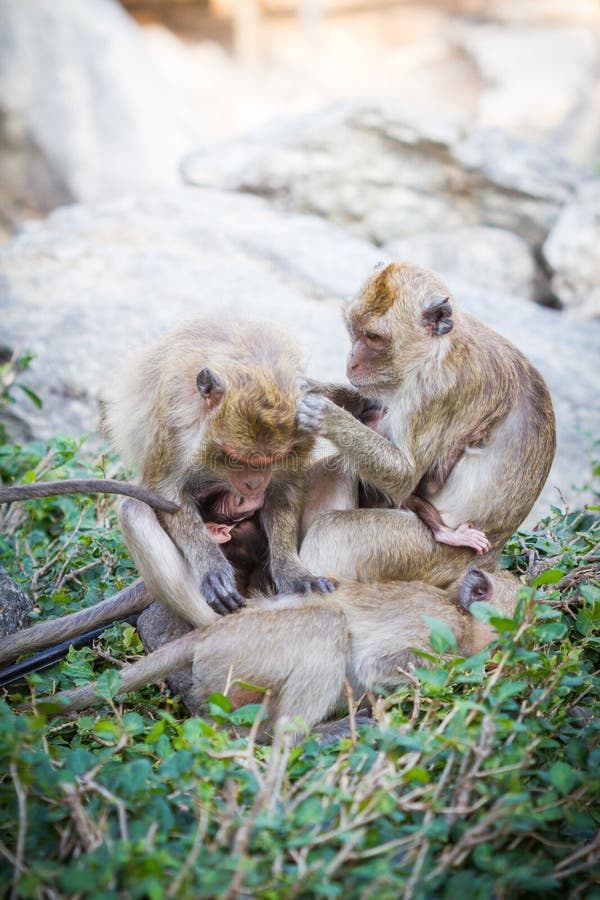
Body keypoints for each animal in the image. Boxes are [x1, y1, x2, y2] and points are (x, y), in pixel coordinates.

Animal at [35, 567, 520, 741]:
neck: (460, 612)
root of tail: (211, 633)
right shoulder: (438, 625)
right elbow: (376, 664)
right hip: (246, 654)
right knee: (327, 626)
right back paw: (304, 735)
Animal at [102, 317, 335, 629]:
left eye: (274, 458)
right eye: (237, 458)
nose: (254, 484)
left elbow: (284, 487)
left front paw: (293, 572)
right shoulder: (172, 424)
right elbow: (166, 491)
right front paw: (210, 563)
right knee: (133, 510)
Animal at [298, 263, 556, 587]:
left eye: (373, 337)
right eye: (353, 330)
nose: (351, 362)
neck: (438, 348)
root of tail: (490, 561)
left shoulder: (433, 392)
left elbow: (407, 476)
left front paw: (324, 413)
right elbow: (370, 405)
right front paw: (309, 387)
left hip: (421, 555)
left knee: (330, 531)